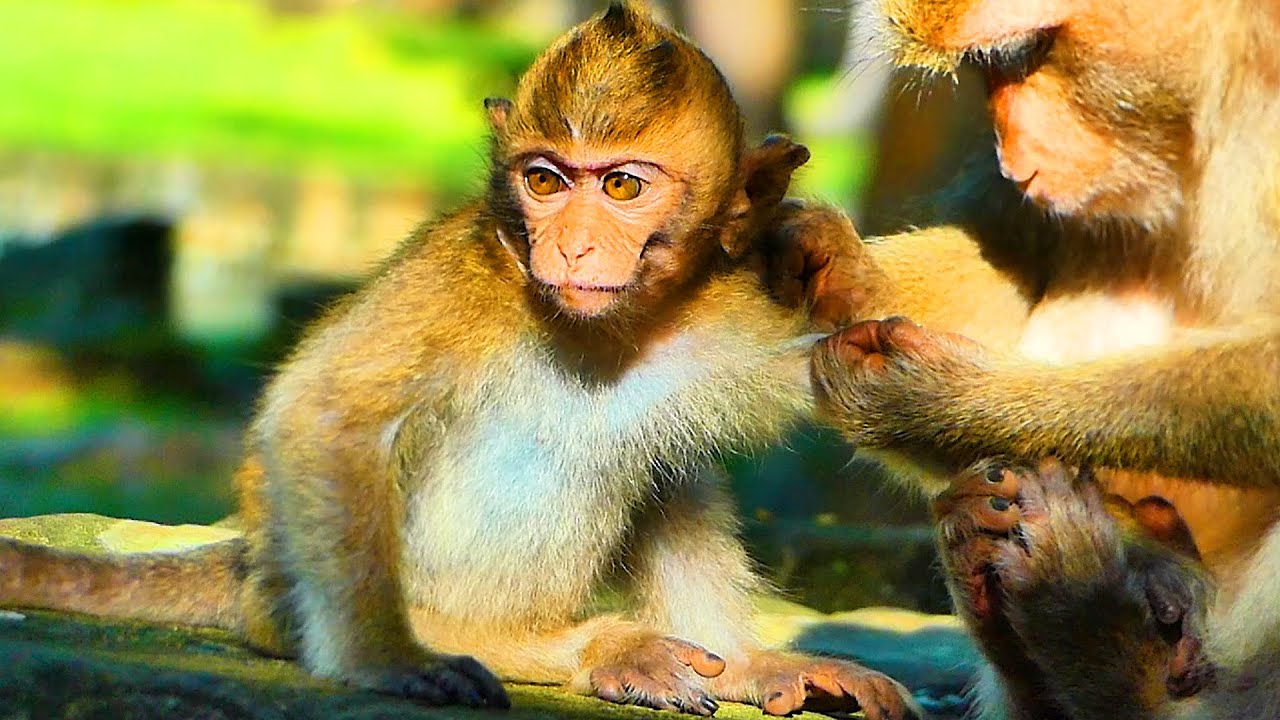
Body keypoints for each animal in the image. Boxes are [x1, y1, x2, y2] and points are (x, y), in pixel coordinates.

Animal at [0, 4, 919, 718]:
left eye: (621, 187)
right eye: (545, 182)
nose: (571, 246)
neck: (602, 330)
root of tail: (254, 566)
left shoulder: (726, 315)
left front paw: (832, 265)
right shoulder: (461, 281)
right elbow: (326, 413)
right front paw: (387, 660)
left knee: (662, 458)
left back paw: (728, 659)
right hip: (304, 595)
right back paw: (579, 648)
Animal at [748, 0, 1280, 718]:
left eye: (1023, 54)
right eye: (985, 67)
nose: (1014, 157)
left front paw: (935, 401)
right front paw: (833, 269)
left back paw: (1108, 653)